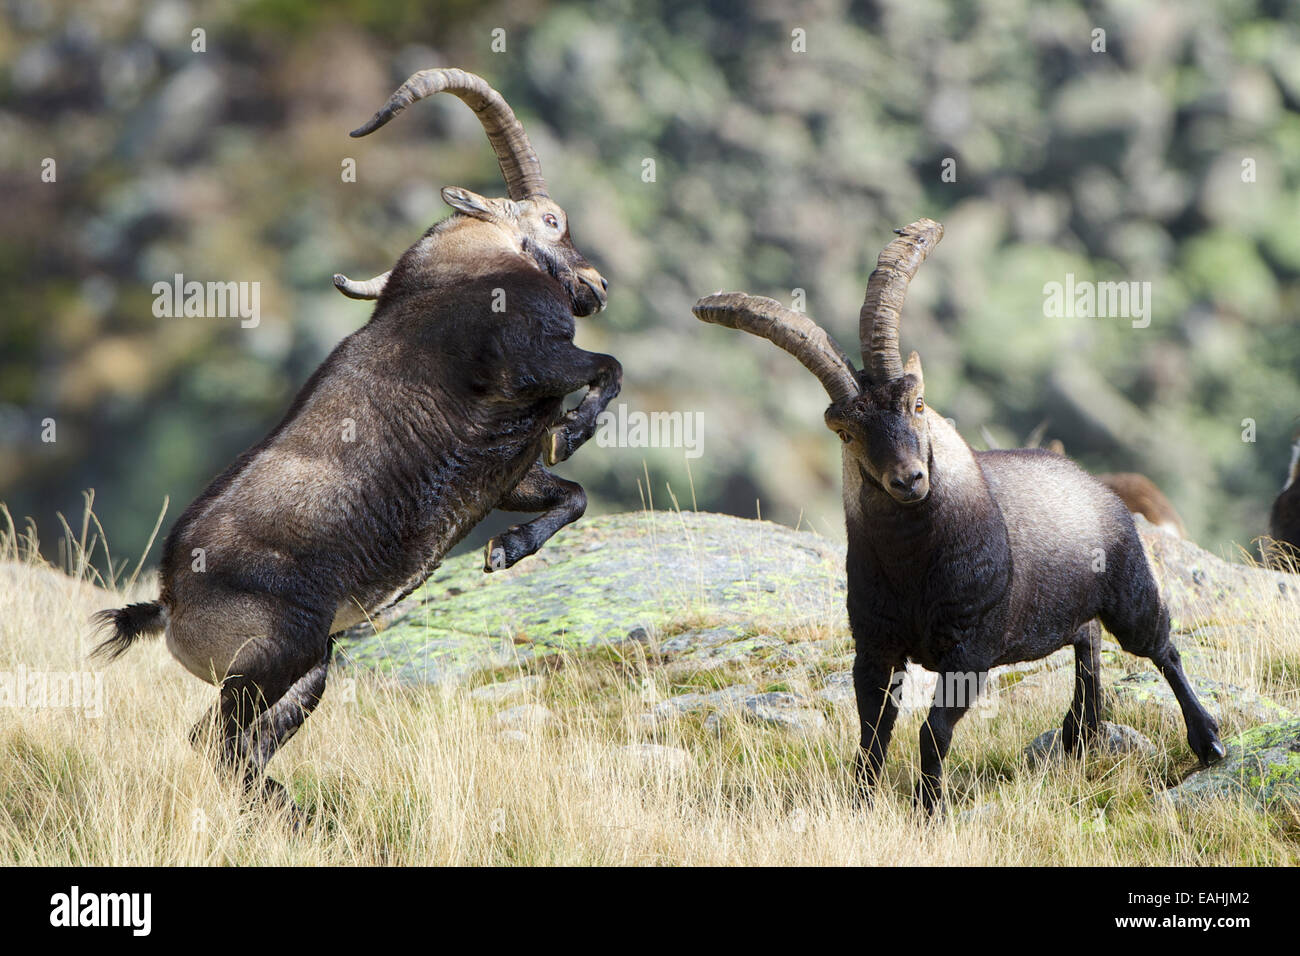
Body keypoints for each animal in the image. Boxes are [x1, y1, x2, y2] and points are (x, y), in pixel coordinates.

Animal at [93, 69, 621, 821]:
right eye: (550, 220)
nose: (597, 286)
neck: (462, 271)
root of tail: (167, 604)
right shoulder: (528, 366)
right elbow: (606, 369)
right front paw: (575, 432)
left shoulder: (504, 473)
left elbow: (569, 497)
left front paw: (507, 549)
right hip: (276, 657)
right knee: (217, 743)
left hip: (306, 668)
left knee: (239, 748)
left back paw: (299, 815)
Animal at [693, 219, 1223, 813]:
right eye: (846, 433)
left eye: (918, 404)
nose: (908, 480)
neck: (912, 562)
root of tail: (1093, 483)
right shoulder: (875, 646)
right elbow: (872, 732)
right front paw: (861, 802)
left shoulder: (970, 649)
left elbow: (933, 731)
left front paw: (931, 808)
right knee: (1087, 642)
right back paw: (1080, 734)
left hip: (1128, 586)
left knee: (1161, 647)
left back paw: (1207, 741)